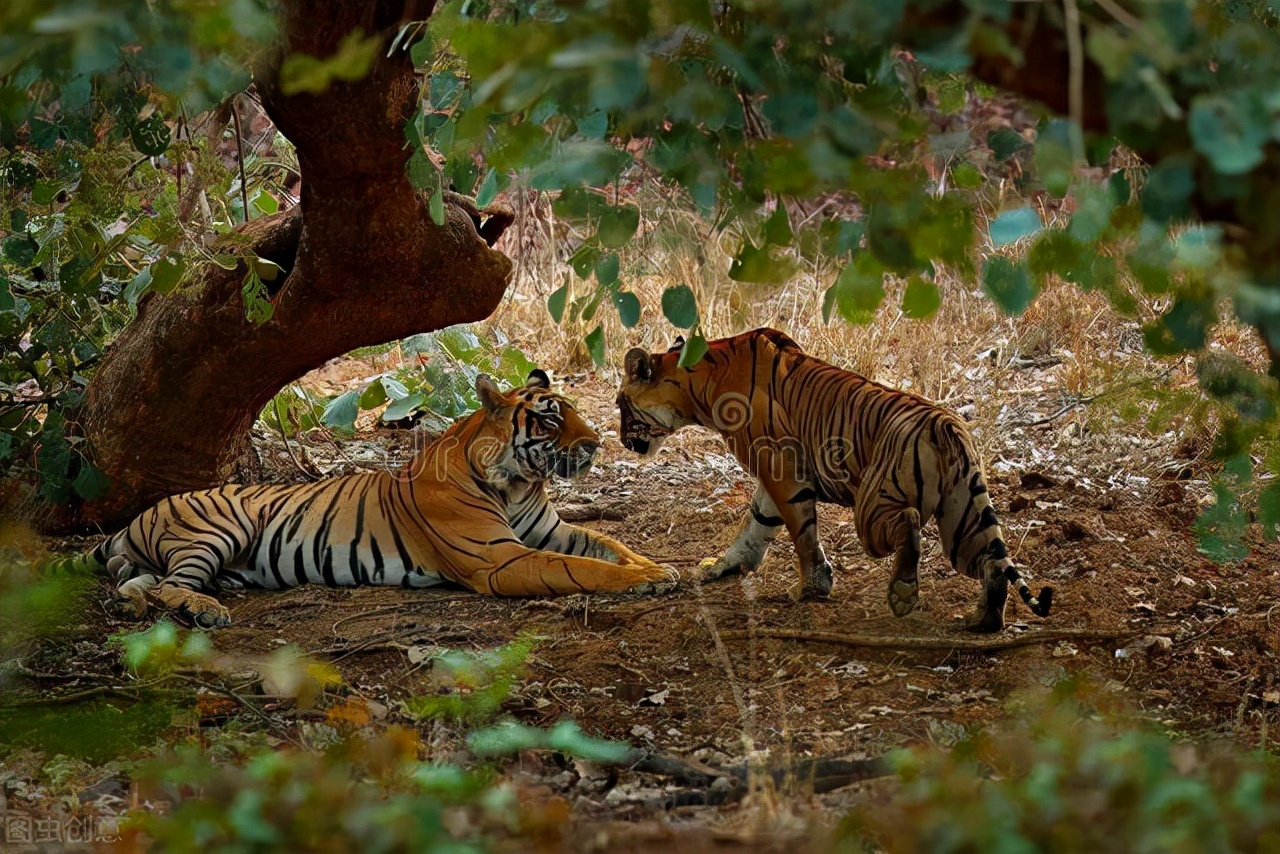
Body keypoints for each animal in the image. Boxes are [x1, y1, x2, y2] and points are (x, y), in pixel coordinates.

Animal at [85, 370, 679, 628]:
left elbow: (608, 544)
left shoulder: (553, 532)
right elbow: (583, 568)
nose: (597, 443)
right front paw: (643, 581)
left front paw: (660, 567)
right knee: (171, 586)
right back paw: (204, 611)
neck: (516, 482)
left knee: (141, 583)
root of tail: (136, 517)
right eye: (552, 418)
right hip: (216, 529)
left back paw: (135, 604)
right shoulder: (500, 559)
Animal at [615, 328, 1051, 633]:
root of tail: (946, 423)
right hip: (962, 520)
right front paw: (724, 565)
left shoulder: (782, 468)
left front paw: (812, 588)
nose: (620, 440)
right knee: (991, 564)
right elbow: (755, 524)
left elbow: (801, 532)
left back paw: (903, 592)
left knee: (908, 525)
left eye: (621, 404)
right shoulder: (772, 477)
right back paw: (983, 620)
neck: (696, 385)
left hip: (873, 508)